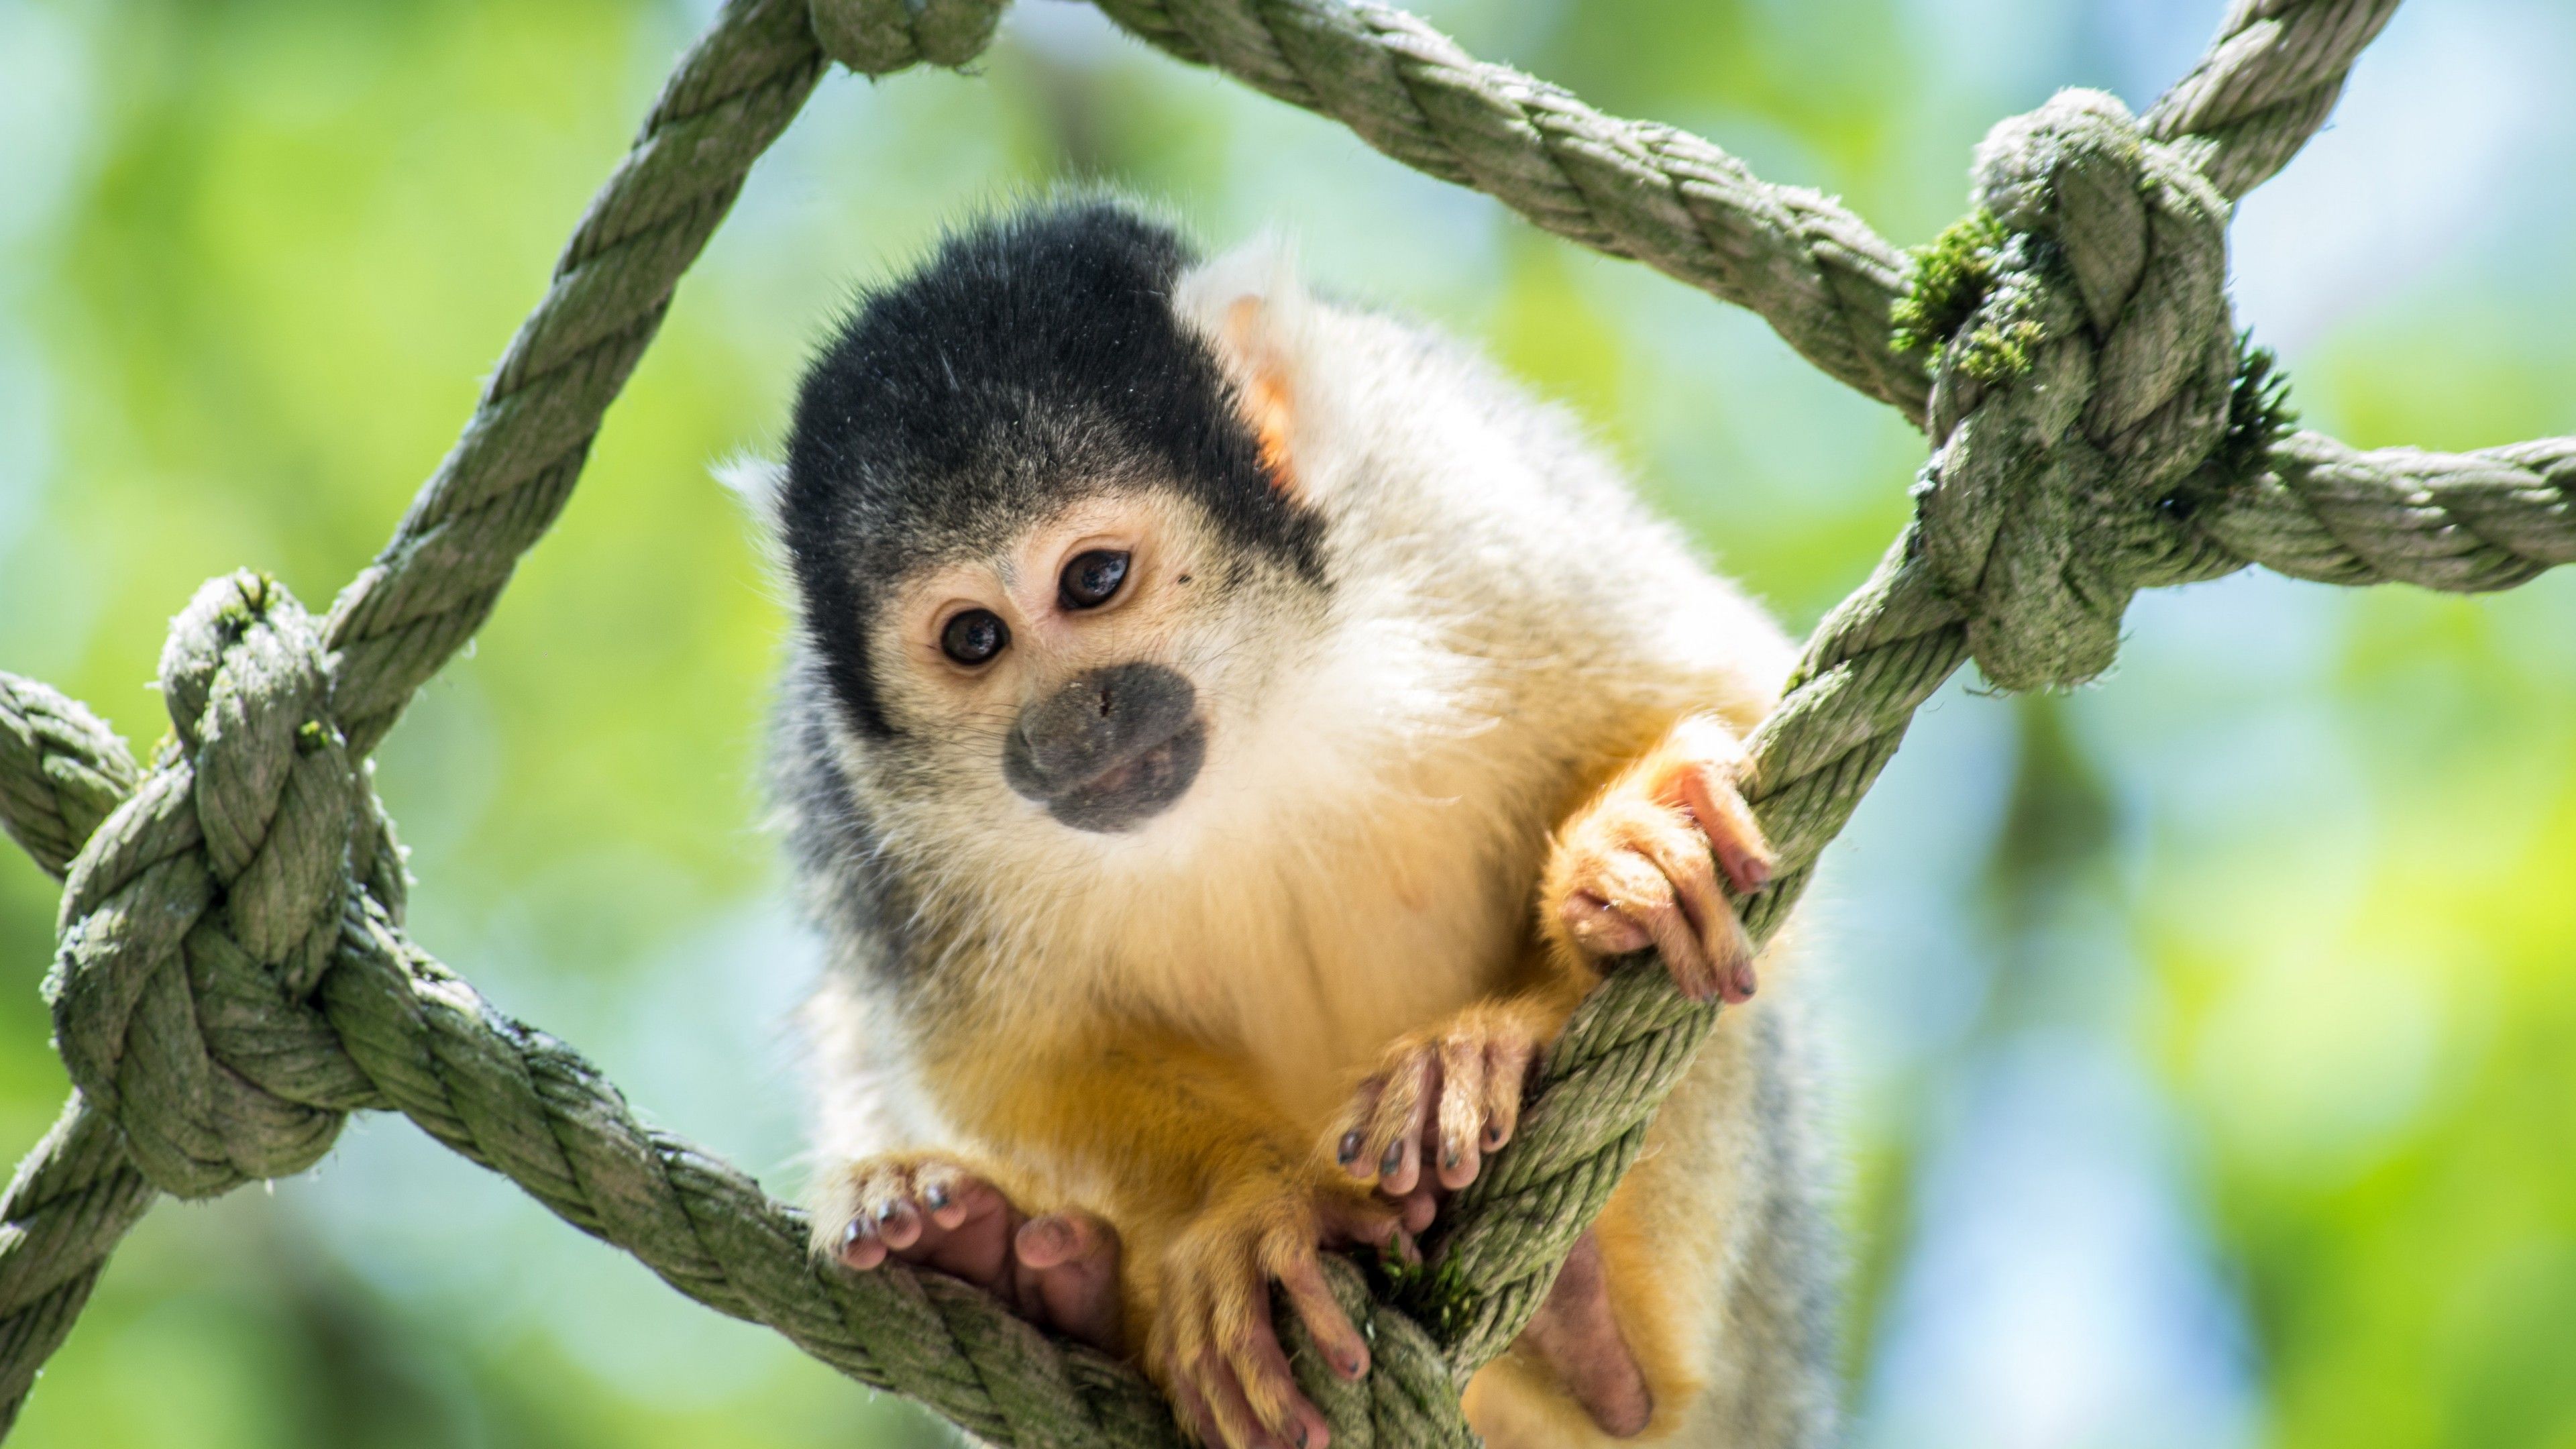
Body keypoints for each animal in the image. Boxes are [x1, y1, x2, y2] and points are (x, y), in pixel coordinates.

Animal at [737, 196, 1839, 1449]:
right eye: (973, 638)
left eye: (1093, 577)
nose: (1072, 724)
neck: (1252, 713)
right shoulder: (864, 798)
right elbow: (1006, 1062)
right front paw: (1252, 1206)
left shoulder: (1452, 497)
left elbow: (1715, 687)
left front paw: (1552, 949)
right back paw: (1024, 1271)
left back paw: (1602, 1351)